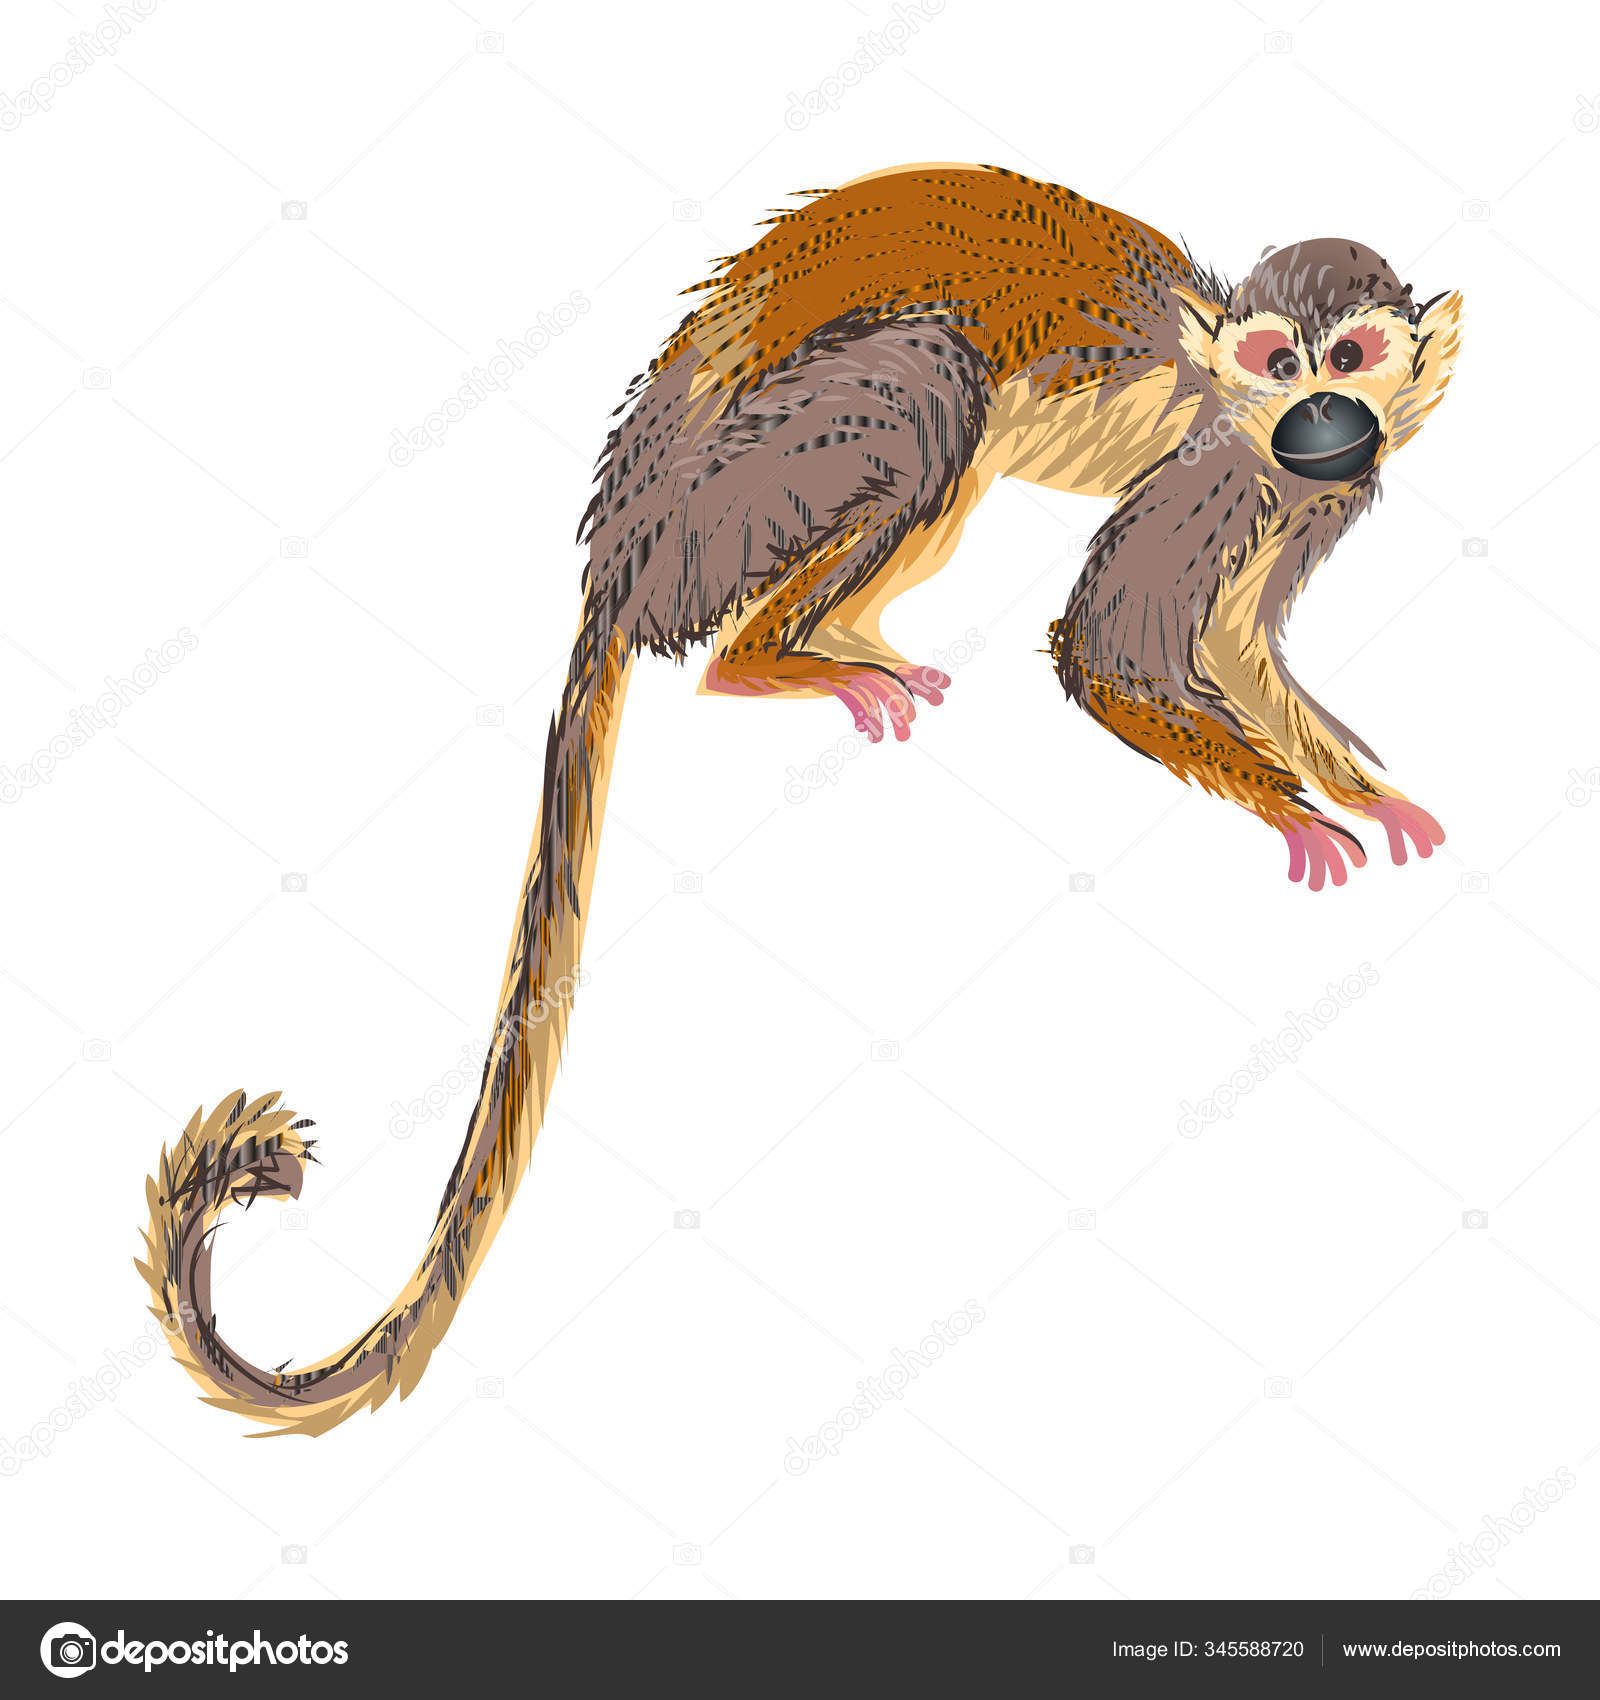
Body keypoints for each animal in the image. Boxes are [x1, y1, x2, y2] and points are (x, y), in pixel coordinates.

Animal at [139, 164, 1463, 1435]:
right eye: (1276, 362)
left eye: (1349, 358)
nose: (1320, 415)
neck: (1243, 419)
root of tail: (615, 553)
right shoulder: (1219, 463)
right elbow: (1103, 651)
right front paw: (1297, 812)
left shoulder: (1302, 488)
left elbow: (1238, 642)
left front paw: (1369, 794)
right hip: (732, 502)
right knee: (934, 389)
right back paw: (765, 655)